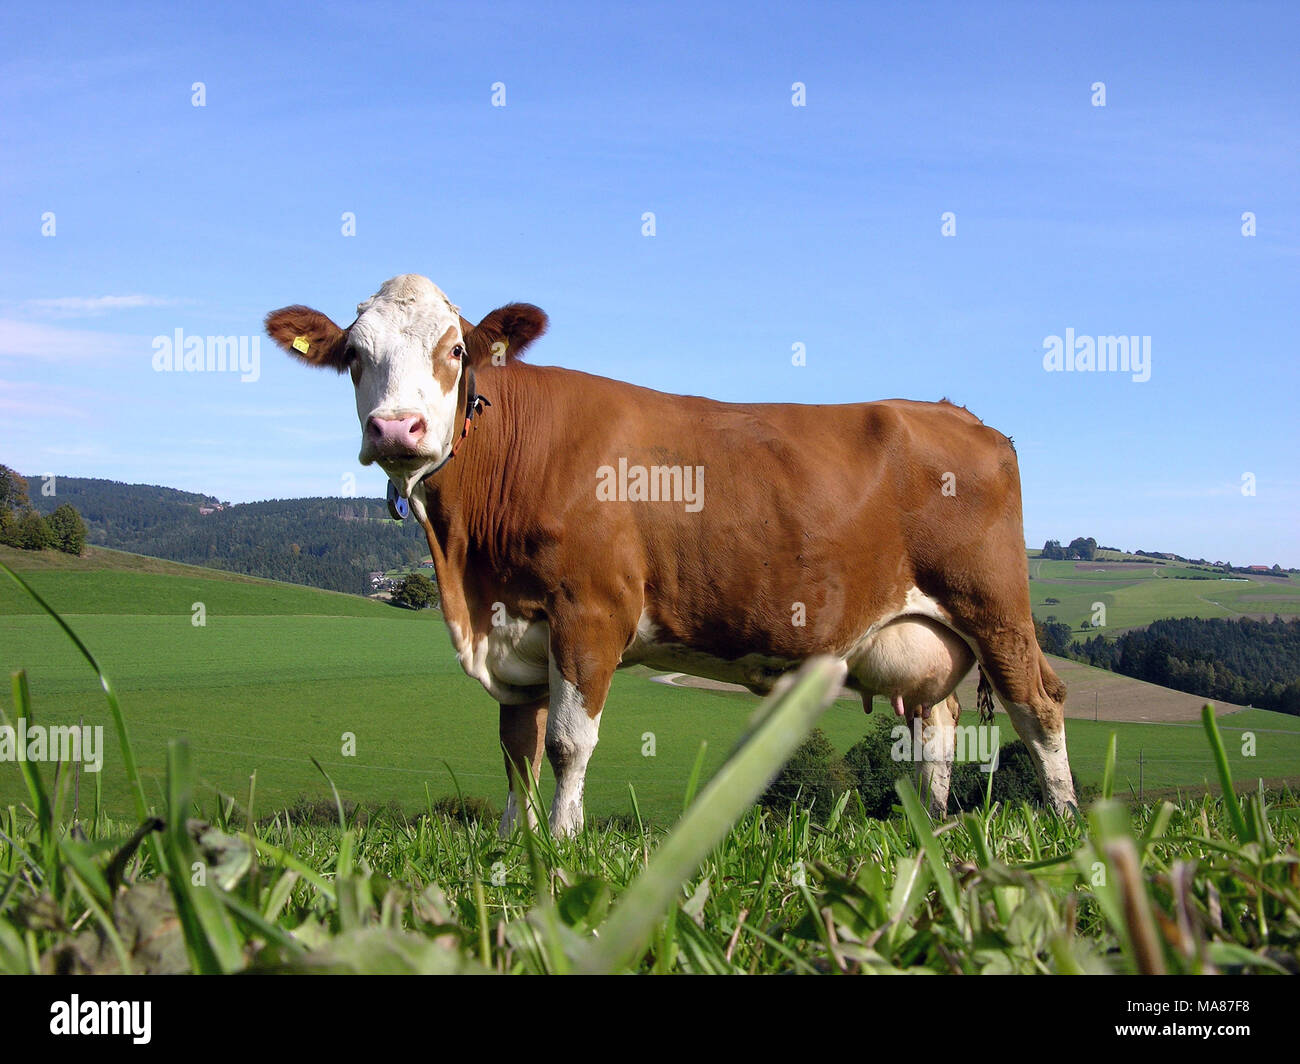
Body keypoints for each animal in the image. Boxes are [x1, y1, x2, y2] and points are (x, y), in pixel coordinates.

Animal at [265, 274, 1076, 833]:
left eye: (456, 349)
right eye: (354, 356)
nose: (395, 429)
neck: (468, 569)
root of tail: (957, 414)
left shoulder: (590, 611)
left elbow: (567, 745)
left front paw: (563, 846)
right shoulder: (514, 628)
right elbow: (515, 749)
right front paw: (511, 844)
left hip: (995, 606)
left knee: (1040, 707)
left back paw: (1067, 827)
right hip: (922, 633)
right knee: (936, 727)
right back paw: (928, 832)